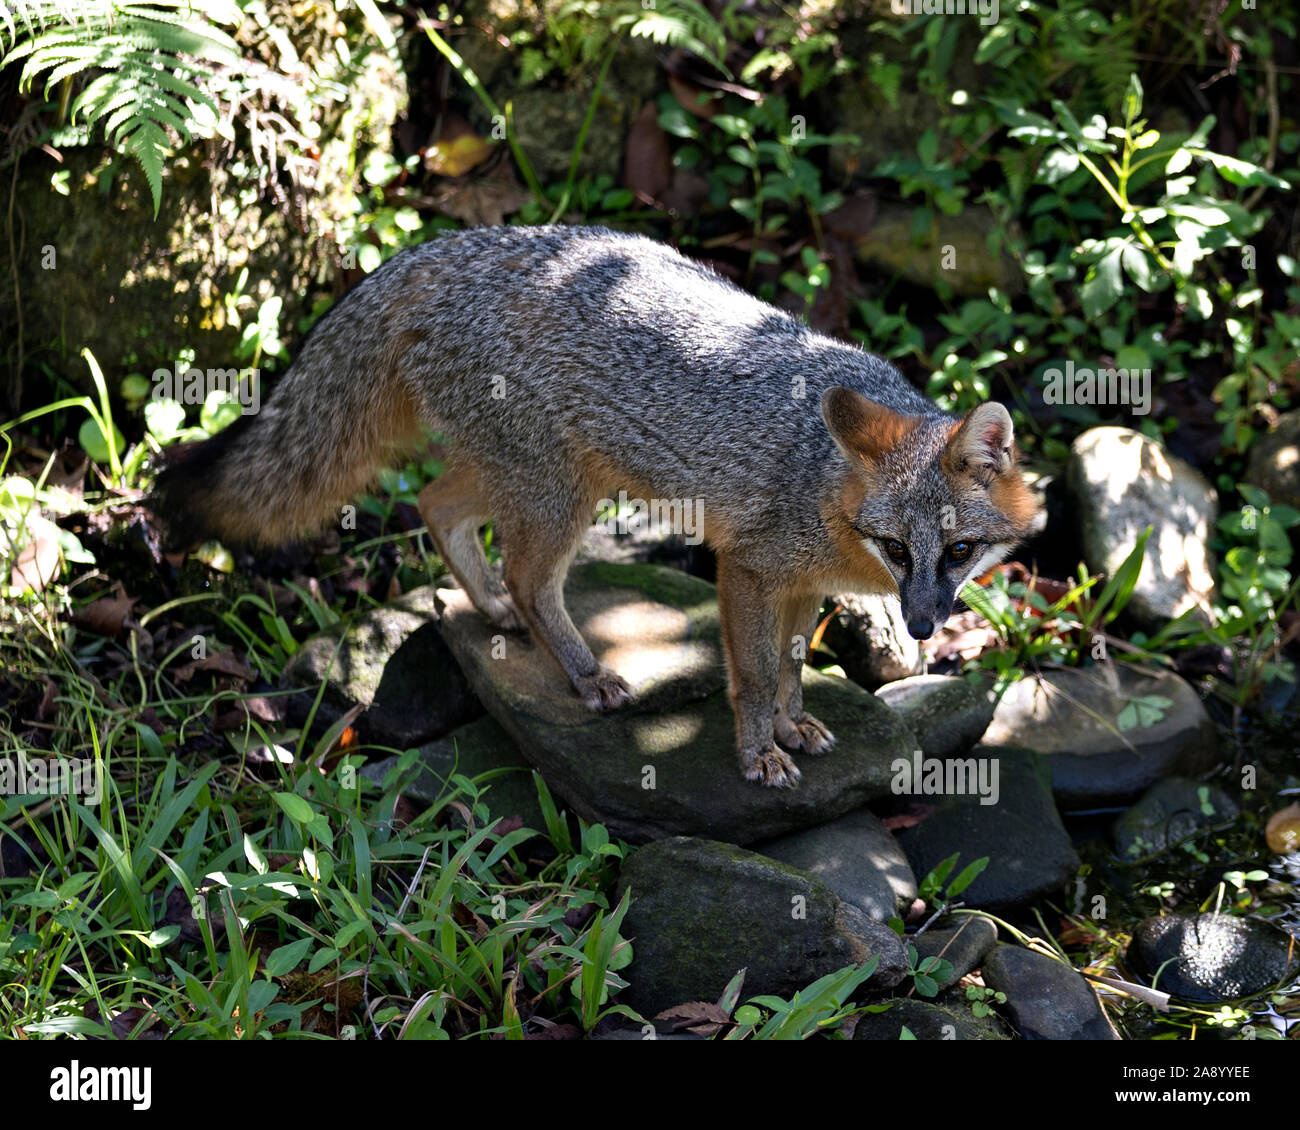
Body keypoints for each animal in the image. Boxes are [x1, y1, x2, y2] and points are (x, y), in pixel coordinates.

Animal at [153, 224, 1038, 788]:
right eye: (899, 548)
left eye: (958, 553)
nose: (921, 626)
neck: (823, 477)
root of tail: (444, 248)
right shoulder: (748, 570)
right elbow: (754, 676)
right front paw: (759, 755)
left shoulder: (800, 586)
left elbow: (790, 669)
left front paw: (794, 727)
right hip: (561, 494)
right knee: (527, 576)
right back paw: (580, 671)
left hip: (537, 475)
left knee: (440, 505)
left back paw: (490, 609)